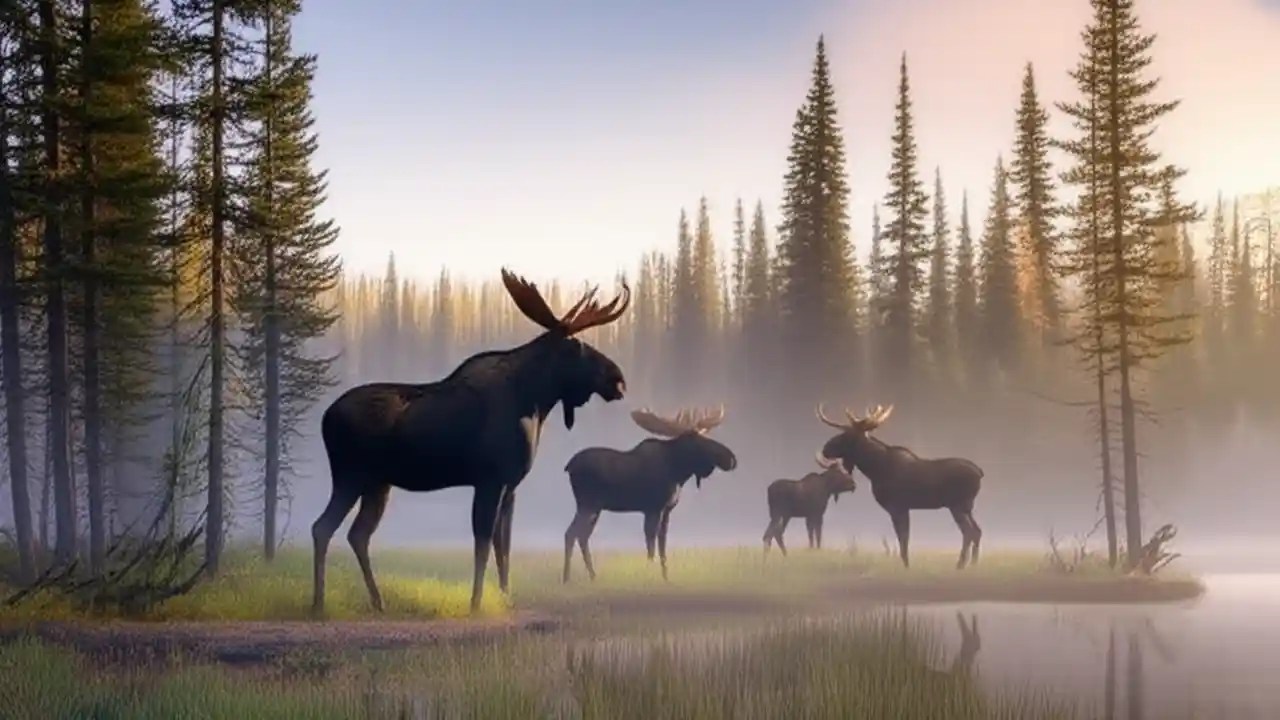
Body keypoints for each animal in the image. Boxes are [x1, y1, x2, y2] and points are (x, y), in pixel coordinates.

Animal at [313, 269, 630, 615]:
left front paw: (505, 595)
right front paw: (476, 602)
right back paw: (320, 603)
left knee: (358, 535)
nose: (618, 379)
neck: (535, 403)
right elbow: (483, 542)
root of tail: (325, 417)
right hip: (350, 476)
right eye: (577, 347)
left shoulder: (510, 486)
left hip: (377, 484)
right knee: (323, 528)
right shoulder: (490, 480)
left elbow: (503, 546)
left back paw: (377, 601)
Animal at [562, 406, 737, 583]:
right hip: (588, 503)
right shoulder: (653, 508)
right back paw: (567, 578)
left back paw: (592, 576)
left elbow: (662, 546)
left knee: (582, 536)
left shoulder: (666, 510)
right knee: (571, 534)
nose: (731, 458)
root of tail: (569, 466)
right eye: (699, 440)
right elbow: (651, 546)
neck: (678, 472)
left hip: (594, 508)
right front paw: (650, 575)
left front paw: (666, 578)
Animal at [816, 403, 984, 569]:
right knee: (977, 531)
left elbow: (903, 538)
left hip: (958, 505)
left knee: (968, 532)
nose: (825, 449)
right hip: (966, 507)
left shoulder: (897, 506)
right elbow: (903, 538)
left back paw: (960, 564)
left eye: (845, 435)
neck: (875, 470)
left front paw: (906, 566)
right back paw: (973, 564)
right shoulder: (903, 508)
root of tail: (980, 473)